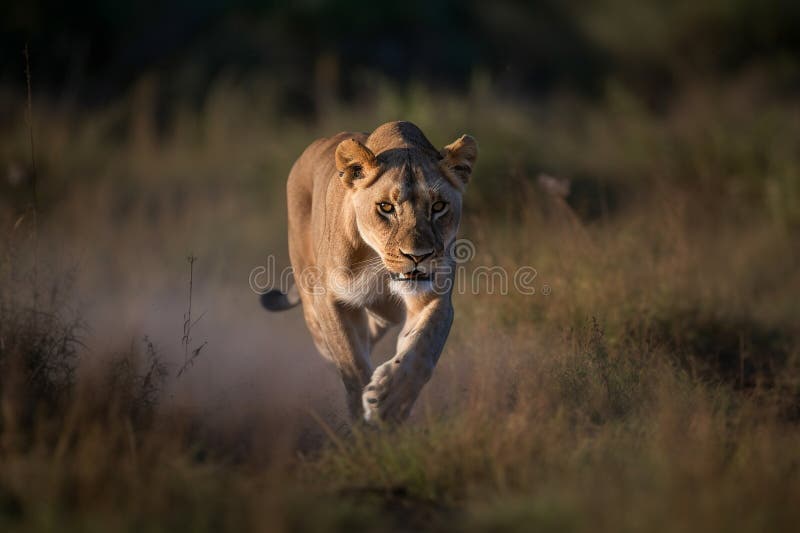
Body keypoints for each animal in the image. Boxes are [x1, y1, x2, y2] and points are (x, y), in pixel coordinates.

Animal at [261, 121, 477, 424]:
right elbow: (351, 364)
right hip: (311, 302)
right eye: (386, 207)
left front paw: (390, 402)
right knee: (334, 344)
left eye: (438, 206)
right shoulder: (330, 299)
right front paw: (363, 420)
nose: (417, 256)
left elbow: (423, 348)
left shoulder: (435, 298)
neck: (379, 266)